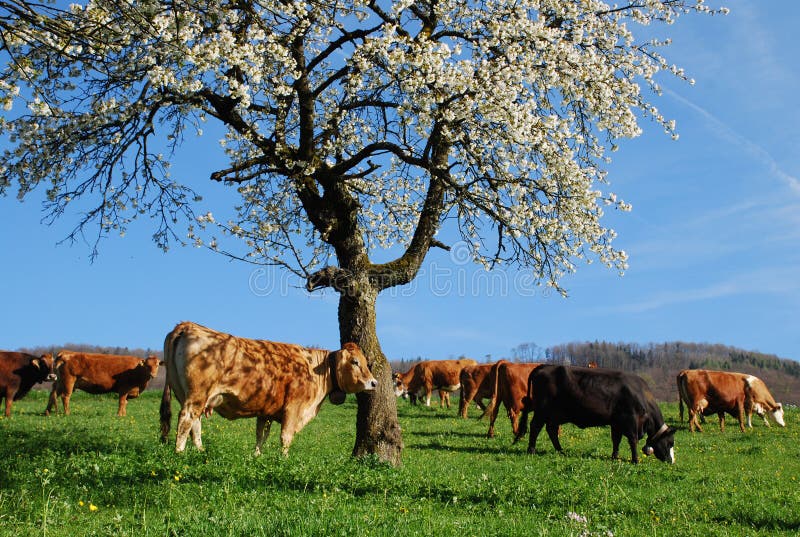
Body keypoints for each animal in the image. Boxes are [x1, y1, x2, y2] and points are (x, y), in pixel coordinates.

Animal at [159, 321, 378, 456]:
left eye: (366, 362)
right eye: (355, 362)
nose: (374, 383)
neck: (312, 367)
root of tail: (188, 325)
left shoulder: (266, 411)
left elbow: (261, 436)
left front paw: (257, 456)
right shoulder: (293, 408)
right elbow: (286, 437)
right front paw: (284, 459)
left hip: (186, 395)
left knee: (194, 425)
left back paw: (199, 451)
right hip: (197, 396)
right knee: (186, 420)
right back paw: (179, 453)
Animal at [517, 365, 676, 464]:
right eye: (670, 442)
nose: (671, 461)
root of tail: (544, 366)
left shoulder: (616, 423)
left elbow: (616, 440)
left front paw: (615, 457)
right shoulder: (630, 420)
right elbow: (633, 440)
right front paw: (635, 460)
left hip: (554, 415)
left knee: (551, 430)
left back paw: (561, 451)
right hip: (542, 411)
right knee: (535, 427)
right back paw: (531, 450)